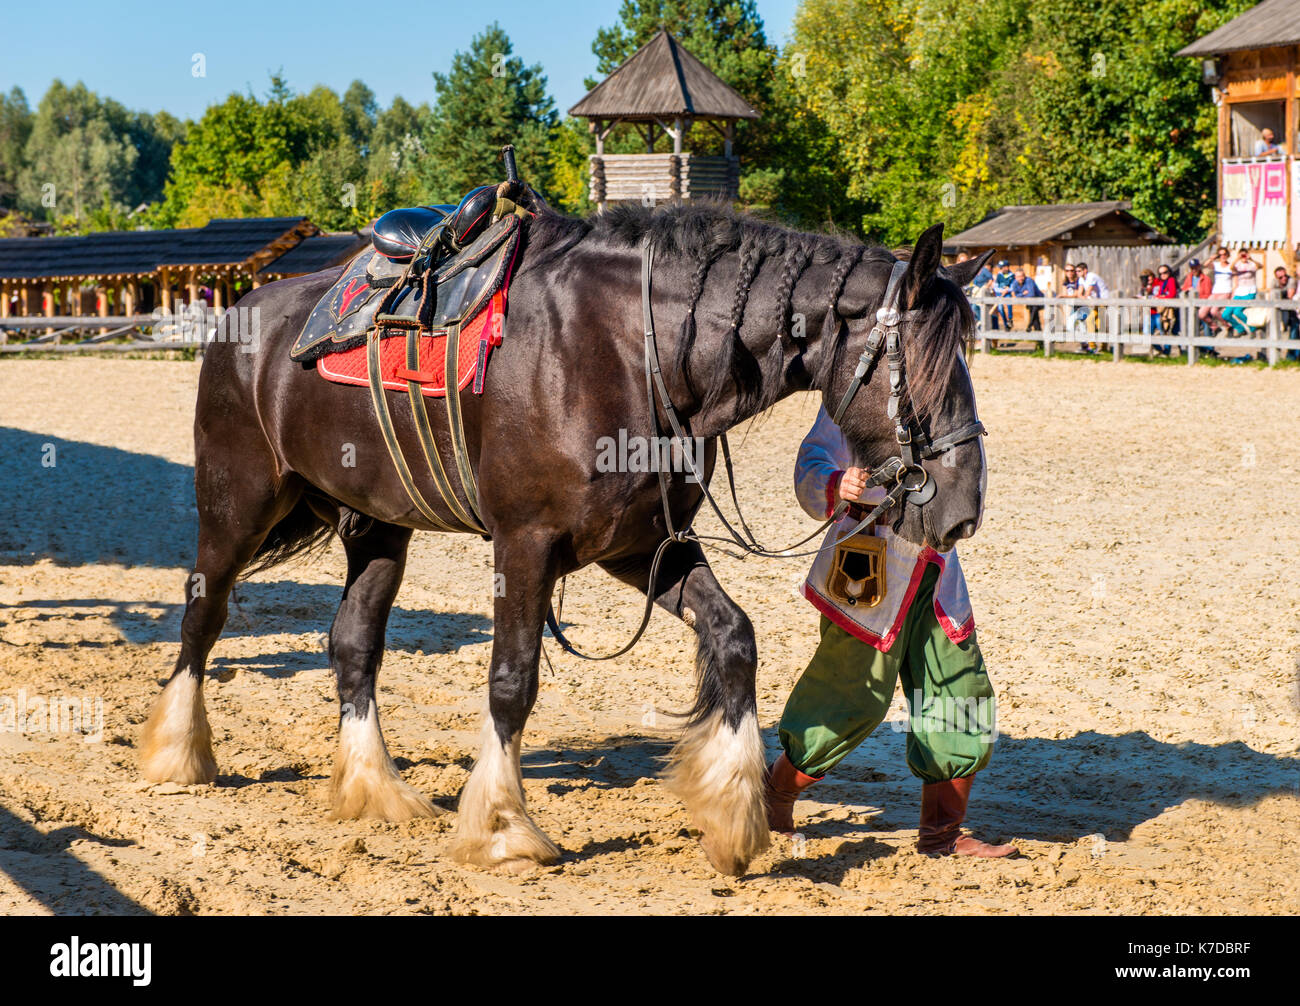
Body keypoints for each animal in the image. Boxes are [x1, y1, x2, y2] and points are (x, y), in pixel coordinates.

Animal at [138, 199, 992, 876]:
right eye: (924, 366)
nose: (961, 509)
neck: (627, 350)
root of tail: (242, 312)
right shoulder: (525, 545)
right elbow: (512, 681)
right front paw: (501, 828)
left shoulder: (644, 546)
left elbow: (734, 639)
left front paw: (734, 820)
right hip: (236, 505)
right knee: (202, 616)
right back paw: (177, 753)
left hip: (379, 526)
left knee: (353, 644)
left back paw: (374, 789)